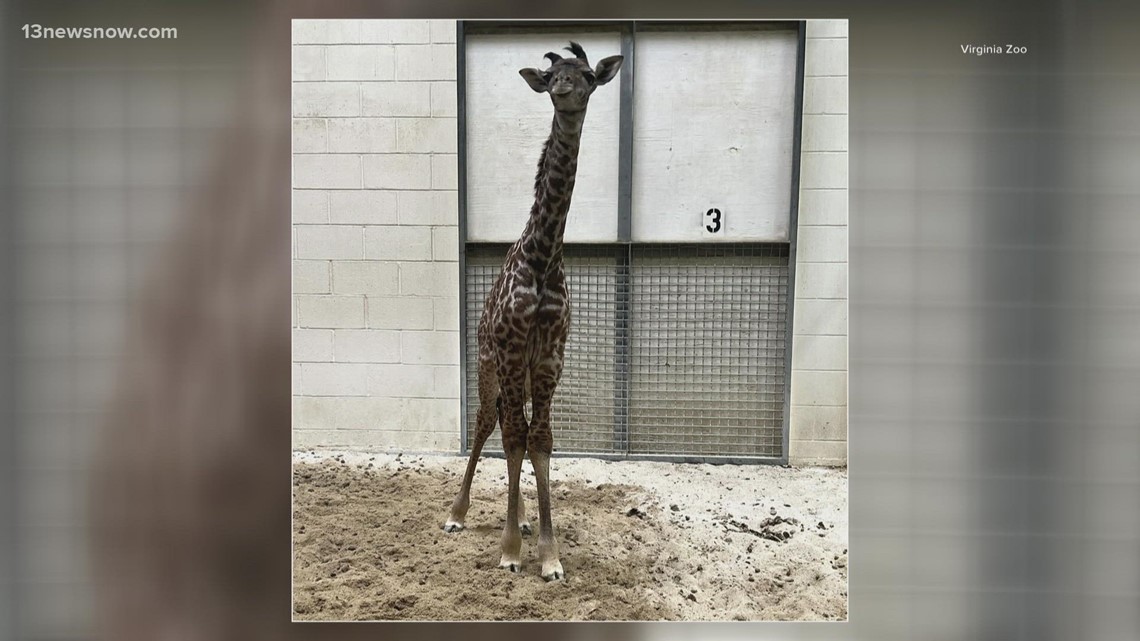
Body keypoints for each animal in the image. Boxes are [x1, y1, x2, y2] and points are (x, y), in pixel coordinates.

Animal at [442, 42, 623, 581]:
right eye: (552, 73)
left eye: (587, 75)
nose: (563, 89)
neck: (542, 257)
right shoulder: (510, 348)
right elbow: (513, 437)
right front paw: (508, 551)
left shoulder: (548, 356)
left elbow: (539, 439)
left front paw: (547, 554)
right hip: (489, 365)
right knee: (488, 423)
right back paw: (457, 513)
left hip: (517, 372)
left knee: (513, 427)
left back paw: (521, 517)